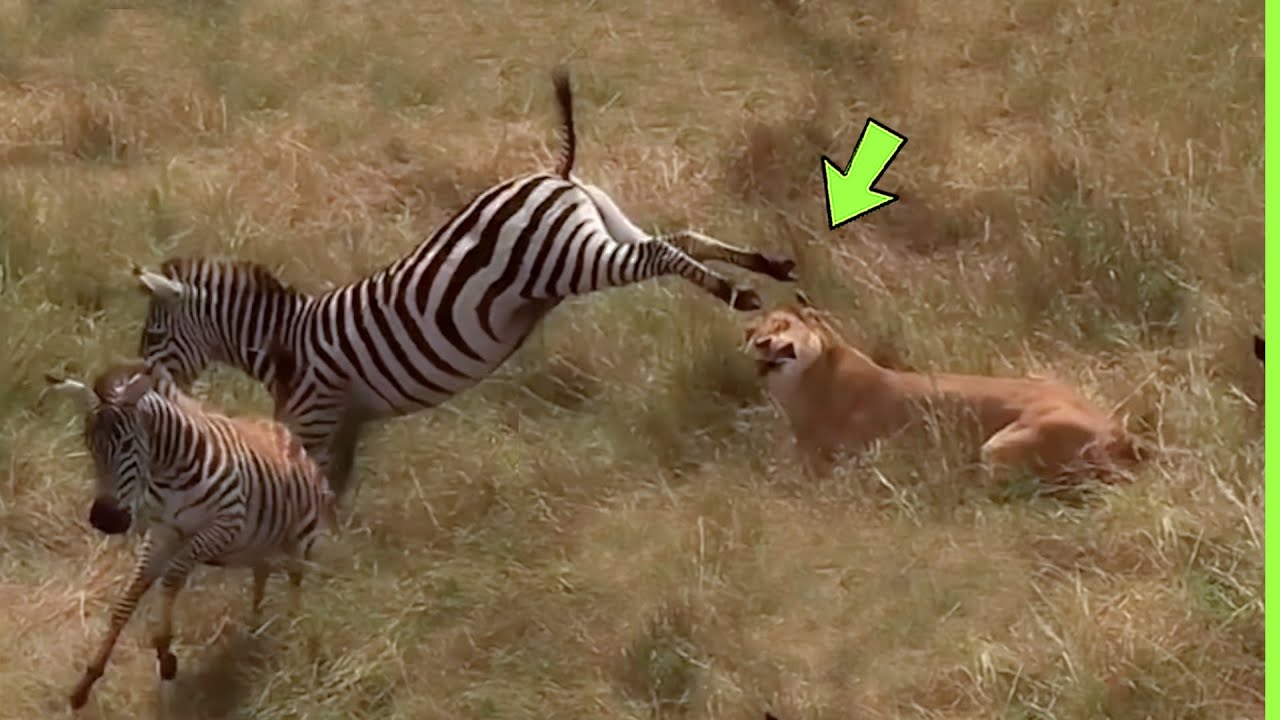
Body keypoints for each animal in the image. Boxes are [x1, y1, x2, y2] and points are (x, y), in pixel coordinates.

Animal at [44, 360, 337, 711]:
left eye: (127, 445)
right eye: (89, 445)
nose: (105, 519)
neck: (168, 472)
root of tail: (285, 433)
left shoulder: (223, 525)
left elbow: (172, 578)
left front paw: (165, 653)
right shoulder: (162, 531)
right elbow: (129, 597)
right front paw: (86, 682)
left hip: (299, 539)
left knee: (295, 581)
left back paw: (290, 632)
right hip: (258, 543)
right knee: (261, 574)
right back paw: (256, 629)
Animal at [131, 67, 798, 503]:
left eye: (152, 336)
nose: (141, 385)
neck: (283, 344)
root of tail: (551, 174)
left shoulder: (318, 418)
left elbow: (313, 493)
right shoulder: (346, 426)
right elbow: (334, 495)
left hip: (572, 258)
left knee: (660, 251)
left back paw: (739, 292)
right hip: (601, 219)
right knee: (678, 239)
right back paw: (764, 269)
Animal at [743, 293, 1141, 481]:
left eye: (780, 326)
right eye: (751, 332)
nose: (760, 343)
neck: (803, 386)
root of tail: (1115, 427)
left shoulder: (857, 458)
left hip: (998, 448)